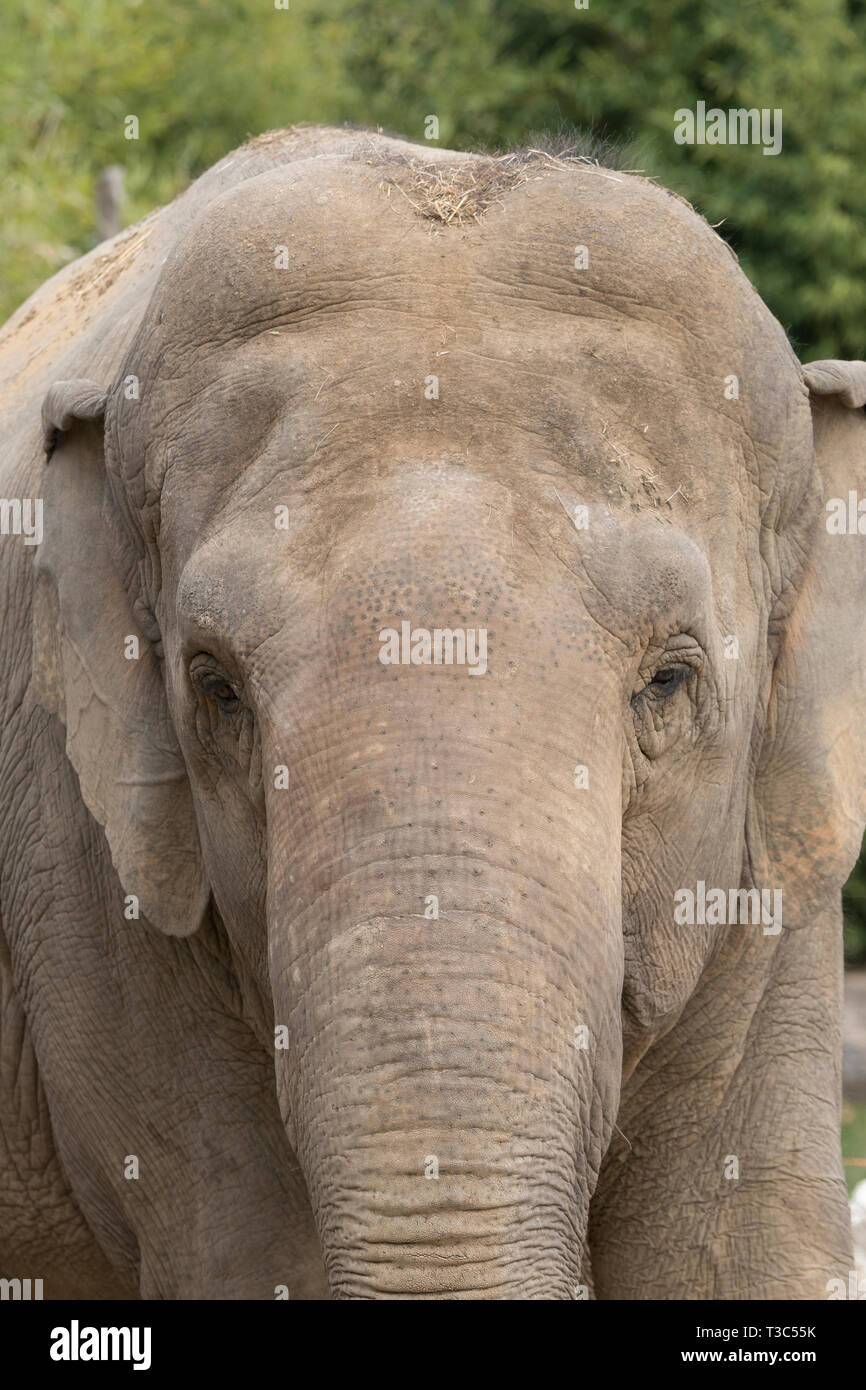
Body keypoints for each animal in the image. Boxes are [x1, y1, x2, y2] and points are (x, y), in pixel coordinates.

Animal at [0, 123, 863, 1300]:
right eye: (215, 688)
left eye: (670, 679)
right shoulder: (98, 883)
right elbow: (253, 1247)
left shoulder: (774, 879)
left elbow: (741, 1243)